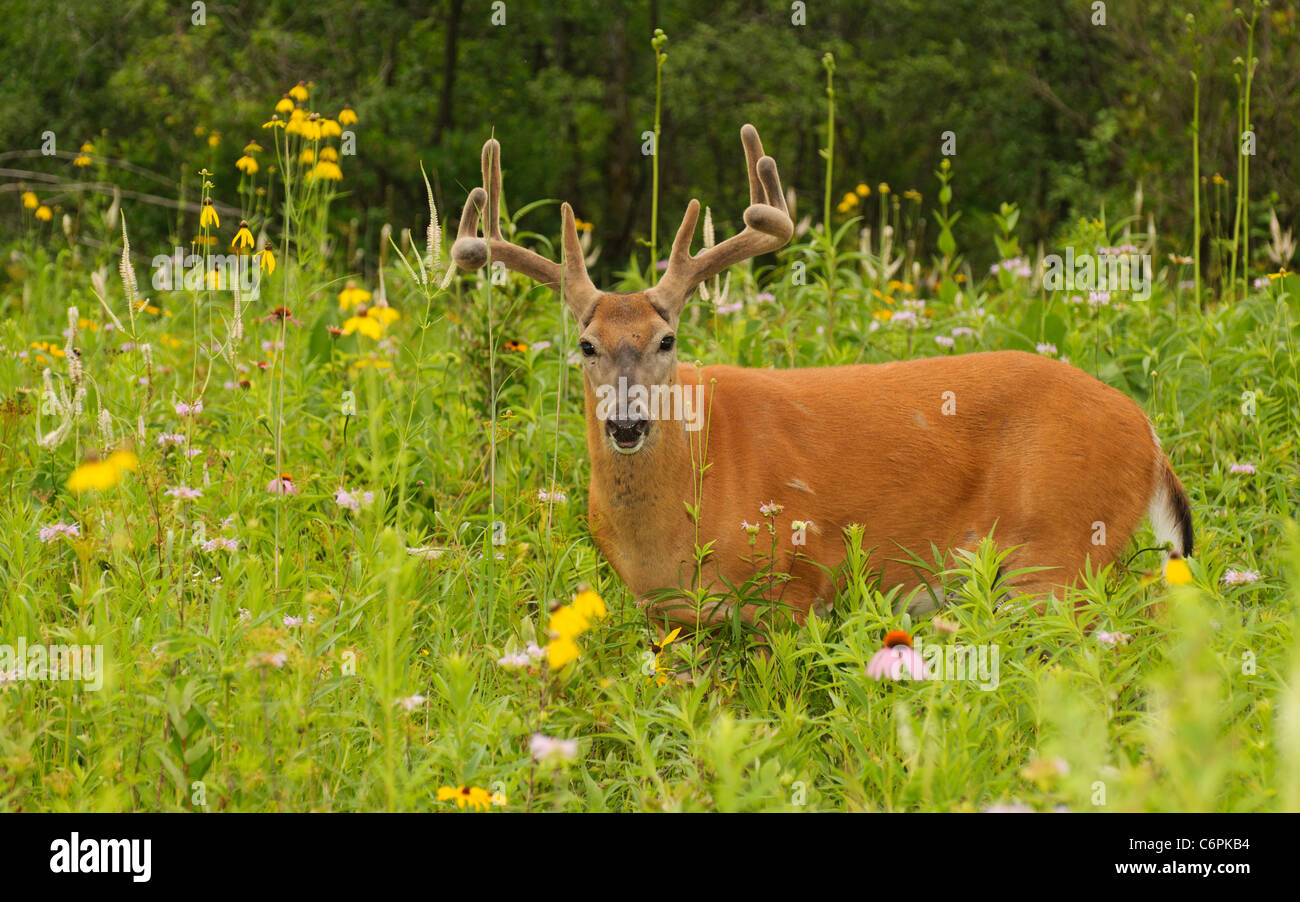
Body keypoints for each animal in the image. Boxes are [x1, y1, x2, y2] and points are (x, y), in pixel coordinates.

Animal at [449, 124, 1194, 631]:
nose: (627, 424)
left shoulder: (801, 580)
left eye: (668, 339)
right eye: (585, 345)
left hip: (1059, 550)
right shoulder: (664, 617)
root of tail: (1149, 437)